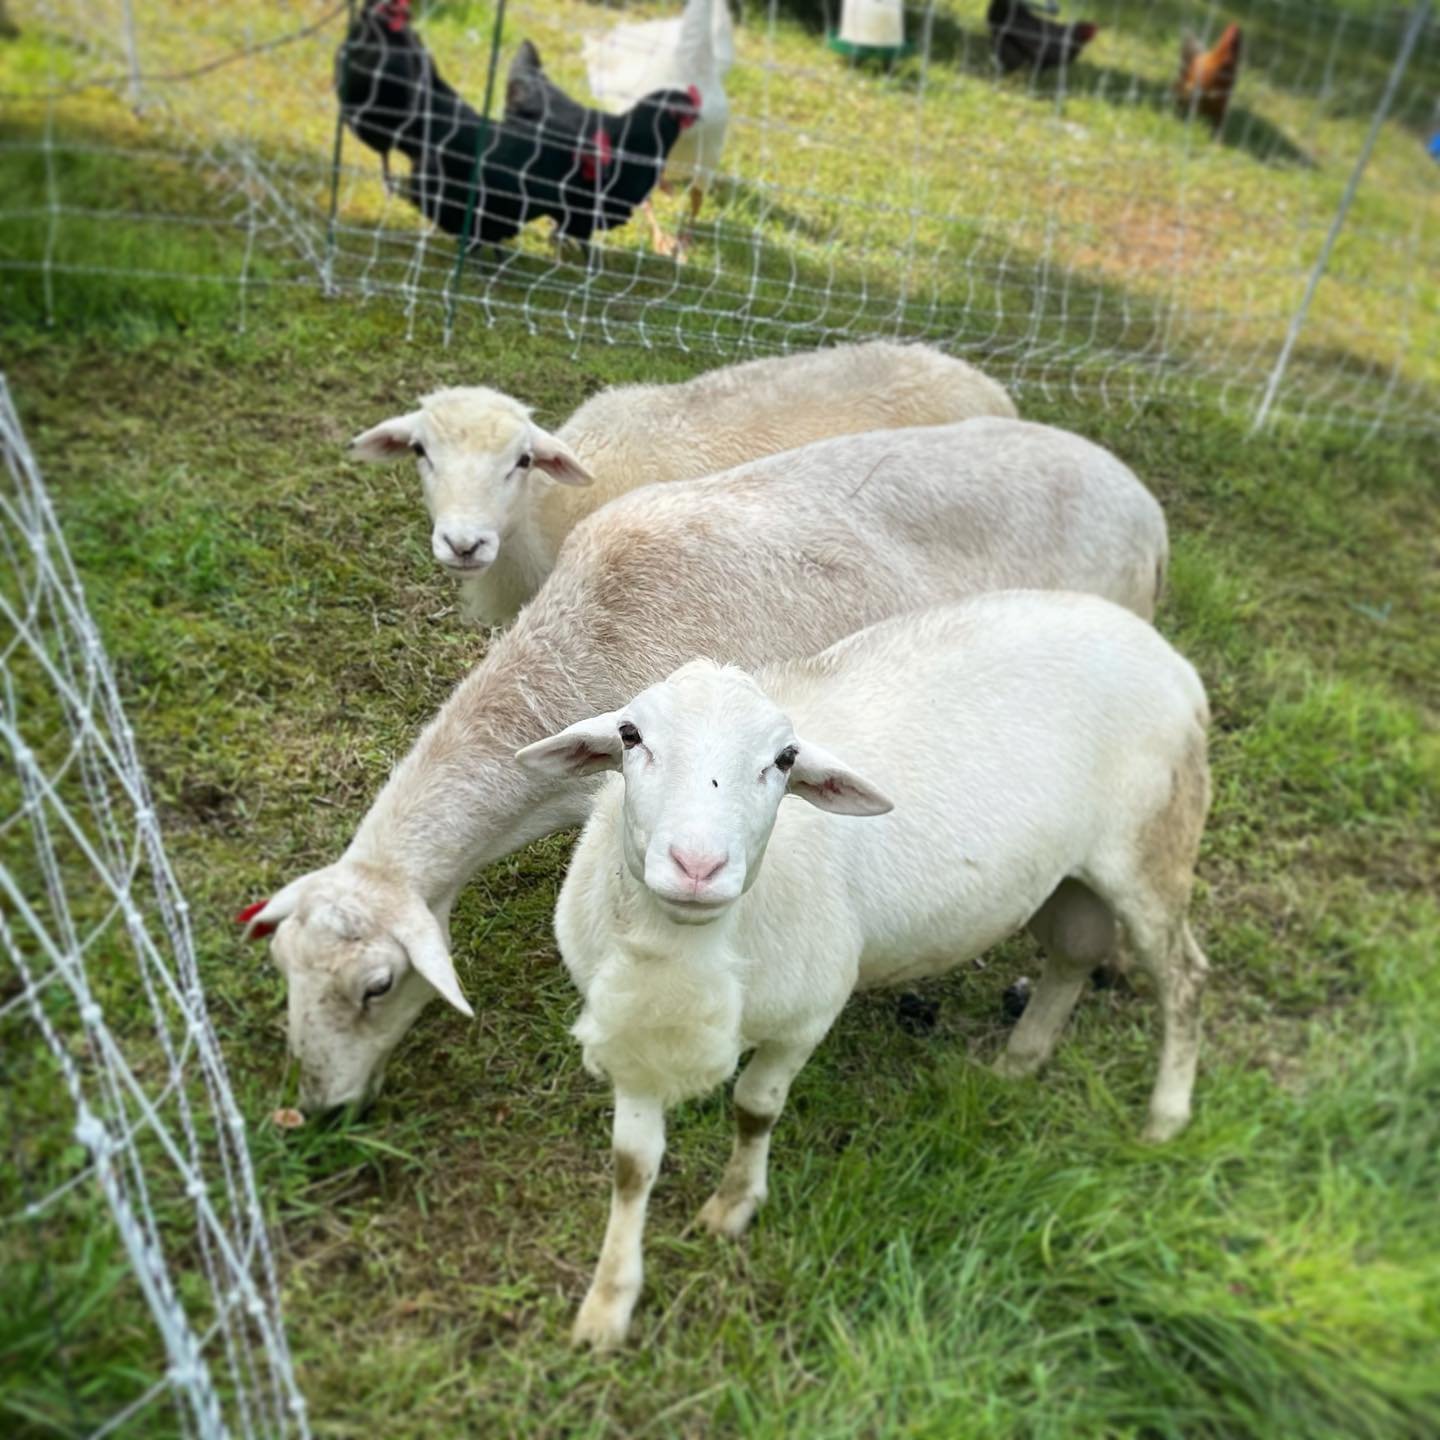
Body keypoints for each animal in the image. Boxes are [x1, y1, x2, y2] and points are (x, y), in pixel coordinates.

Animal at [515, 593, 1212, 1349]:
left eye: (784, 759)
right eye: (630, 735)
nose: (697, 865)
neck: (687, 948)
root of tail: (1155, 645)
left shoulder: (808, 1013)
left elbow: (754, 1109)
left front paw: (733, 1206)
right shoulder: (635, 1035)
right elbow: (631, 1166)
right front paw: (608, 1304)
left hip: (1152, 846)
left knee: (1185, 975)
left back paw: (1166, 1114)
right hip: (1063, 874)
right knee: (1076, 953)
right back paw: (1022, 1058)